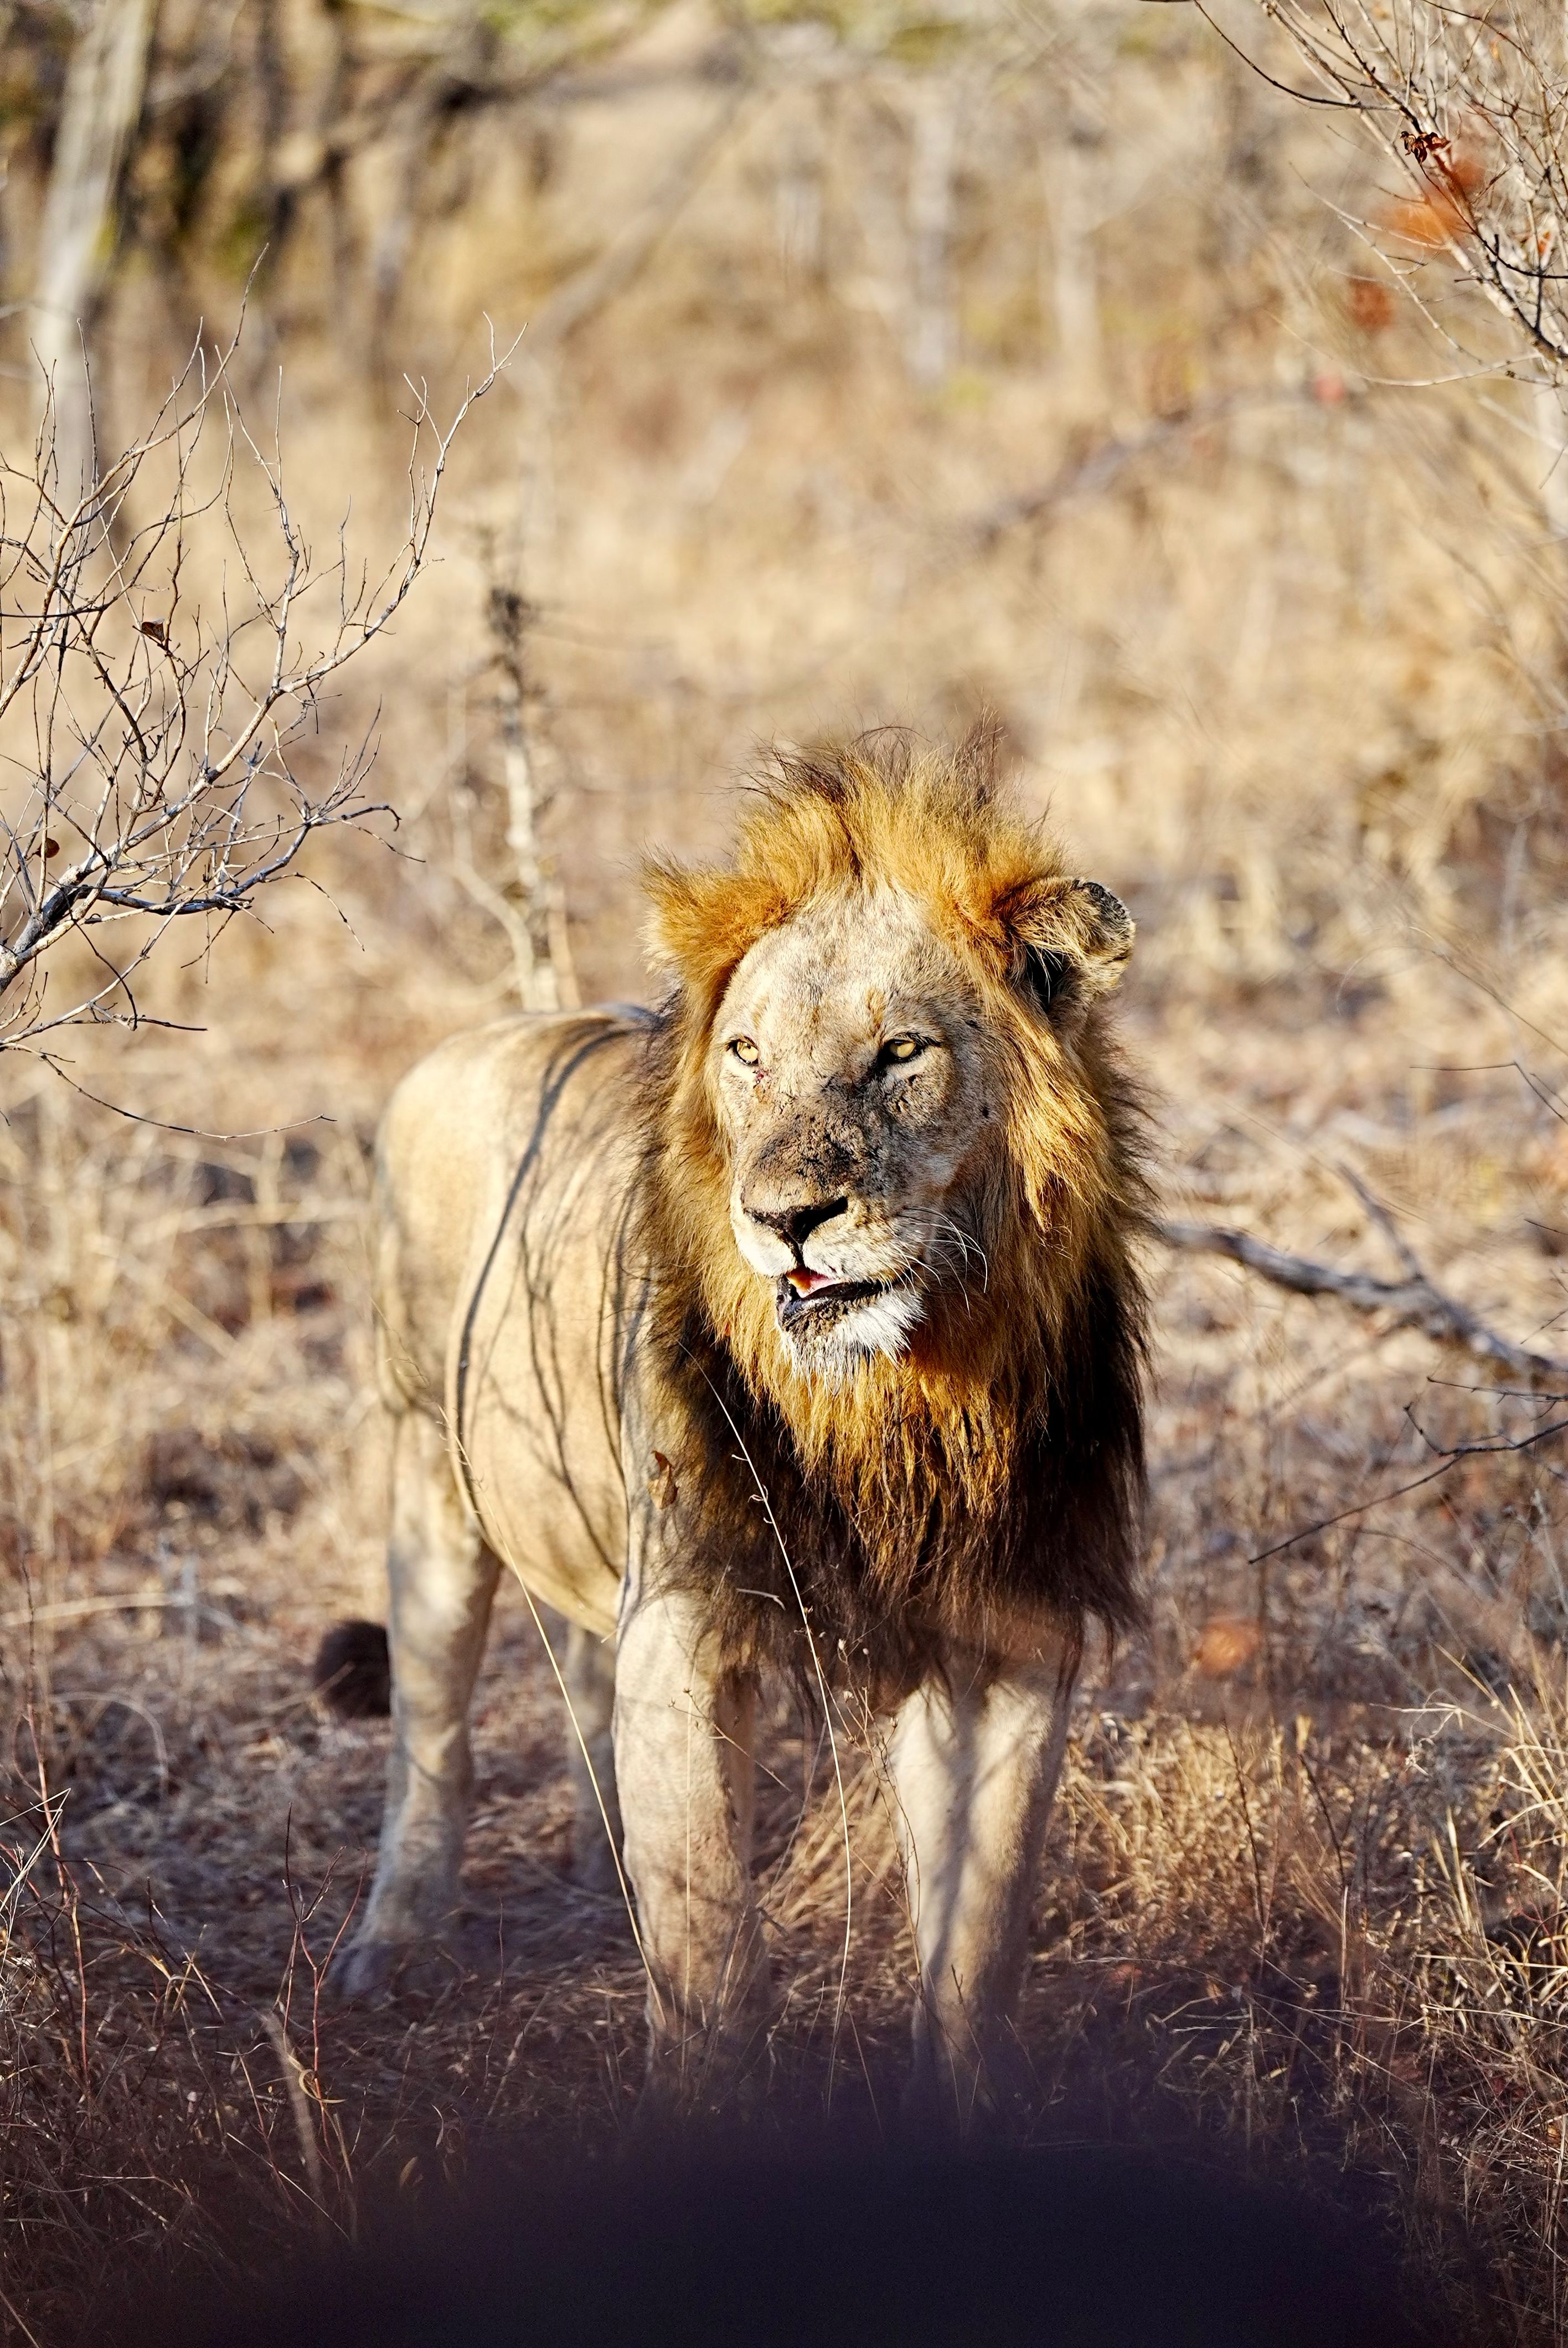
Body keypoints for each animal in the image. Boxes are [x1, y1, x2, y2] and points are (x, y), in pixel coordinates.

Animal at [331, 730, 1148, 2118]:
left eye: (901, 1052)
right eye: (749, 1054)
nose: (787, 1218)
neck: (903, 1399)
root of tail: (467, 1041)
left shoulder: (1010, 1628)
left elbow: (977, 1934)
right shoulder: (692, 1617)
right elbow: (714, 1955)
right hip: (428, 1479)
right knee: (430, 1737)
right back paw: (394, 1945)